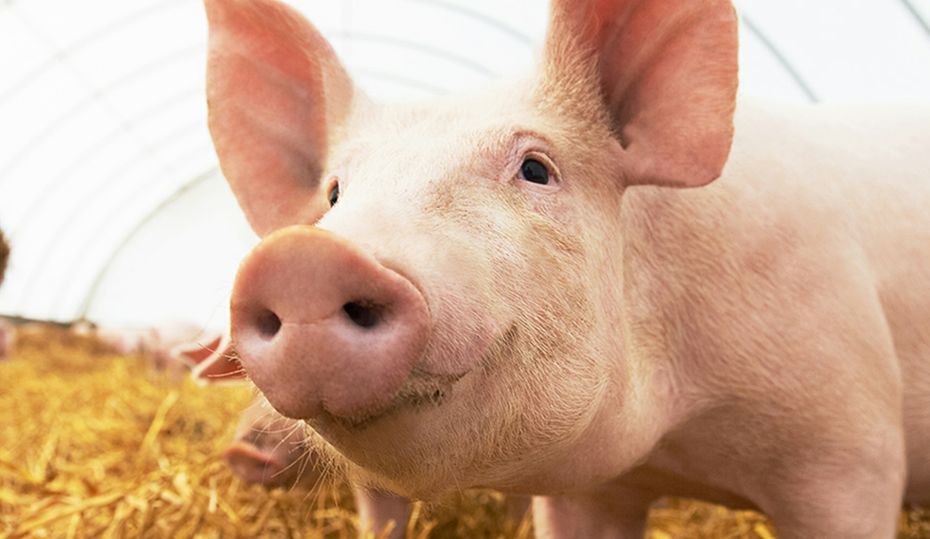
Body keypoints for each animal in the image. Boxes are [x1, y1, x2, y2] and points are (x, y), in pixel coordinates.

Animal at [203, 0, 930, 537]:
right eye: (333, 193)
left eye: (536, 168)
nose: (300, 259)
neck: (678, 441)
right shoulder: (588, 490)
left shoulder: (851, 452)